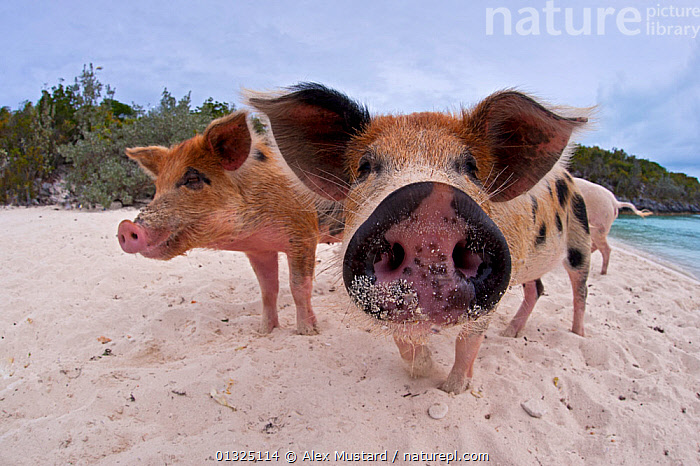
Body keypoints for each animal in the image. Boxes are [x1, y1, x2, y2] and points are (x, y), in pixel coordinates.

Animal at [116, 110, 343, 335]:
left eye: (193, 179)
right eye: (158, 187)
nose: (125, 226)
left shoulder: (305, 234)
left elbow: (299, 286)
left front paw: (308, 332)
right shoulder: (259, 249)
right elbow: (268, 289)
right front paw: (264, 331)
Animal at [248, 83, 591, 393]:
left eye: (471, 167)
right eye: (365, 167)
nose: (432, 207)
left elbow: (469, 341)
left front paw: (452, 389)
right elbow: (405, 339)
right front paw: (424, 372)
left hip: (580, 241)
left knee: (580, 288)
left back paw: (578, 335)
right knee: (537, 288)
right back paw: (511, 333)